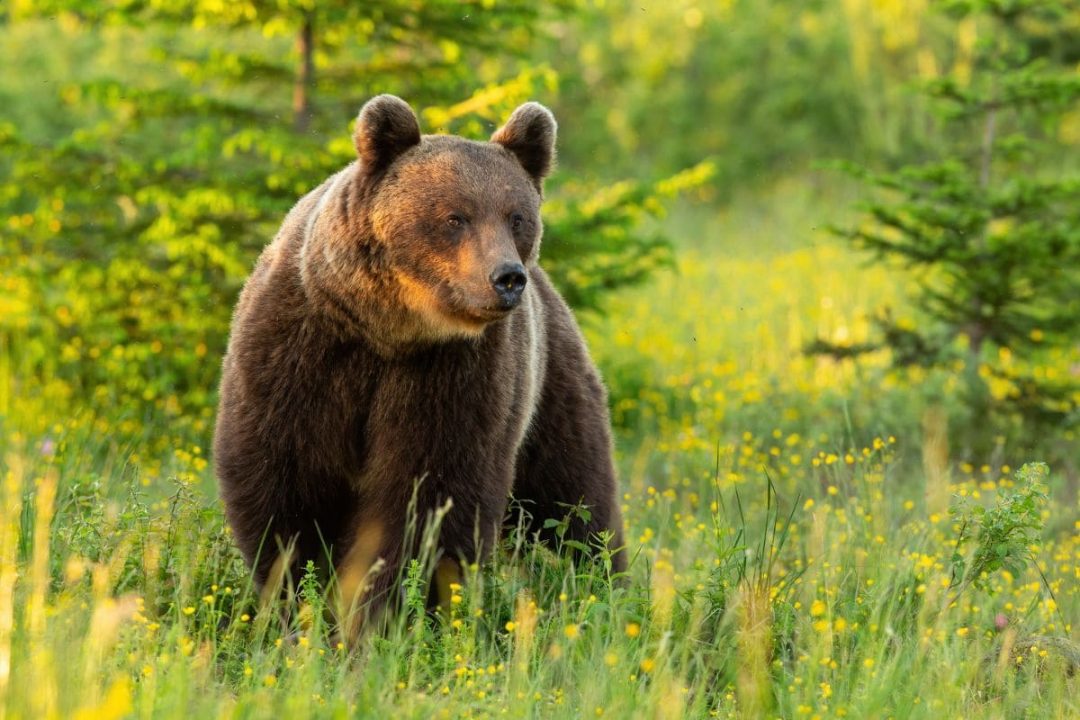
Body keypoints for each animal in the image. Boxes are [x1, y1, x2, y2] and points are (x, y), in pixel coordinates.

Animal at [213, 95, 625, 633]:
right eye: (456, 216)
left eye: (516, 216)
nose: (507, 278)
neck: (388, 329)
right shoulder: (301, 350)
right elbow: (282, 480)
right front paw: (298, 603)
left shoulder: (455, 374)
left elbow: (427, 495)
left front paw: (378, 613)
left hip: (550, 389)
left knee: (576, 500)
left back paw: (612, 588)